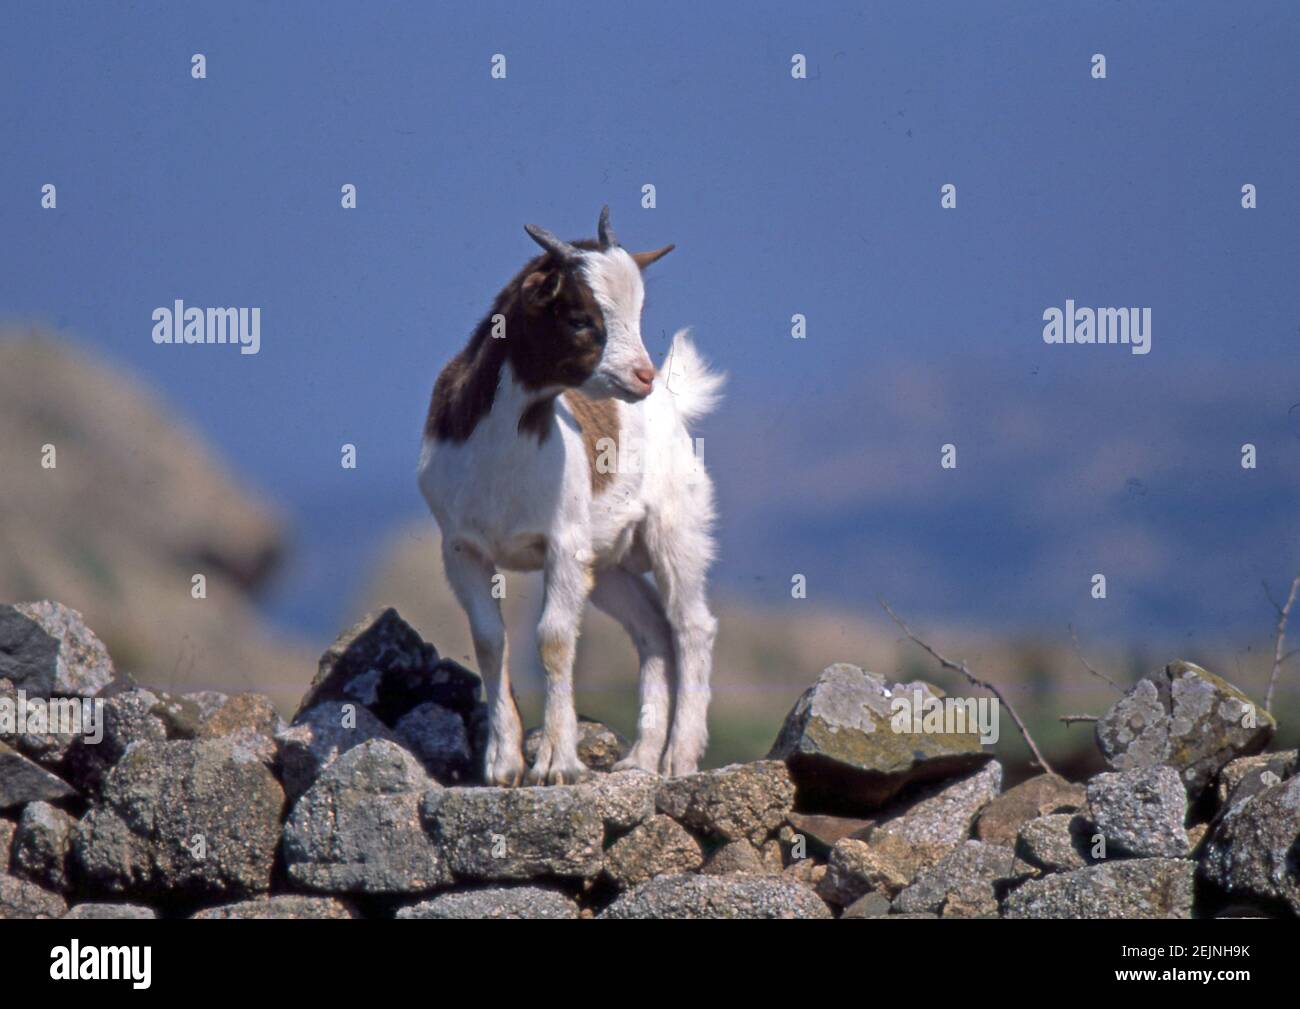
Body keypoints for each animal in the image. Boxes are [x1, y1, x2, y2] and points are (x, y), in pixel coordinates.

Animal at [418, 207, 724, 785]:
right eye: (581, 318)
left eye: (639, 311)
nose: (642, 376)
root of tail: (673, 405)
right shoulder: (459, 549)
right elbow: (490, 640)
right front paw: (502, 765)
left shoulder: (562, 542)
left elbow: (554, 638)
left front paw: (556, 764)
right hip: (608, 561)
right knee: (653, 629)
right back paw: (641, 757)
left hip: (676, 527)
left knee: (691, 624)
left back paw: (679, 757)